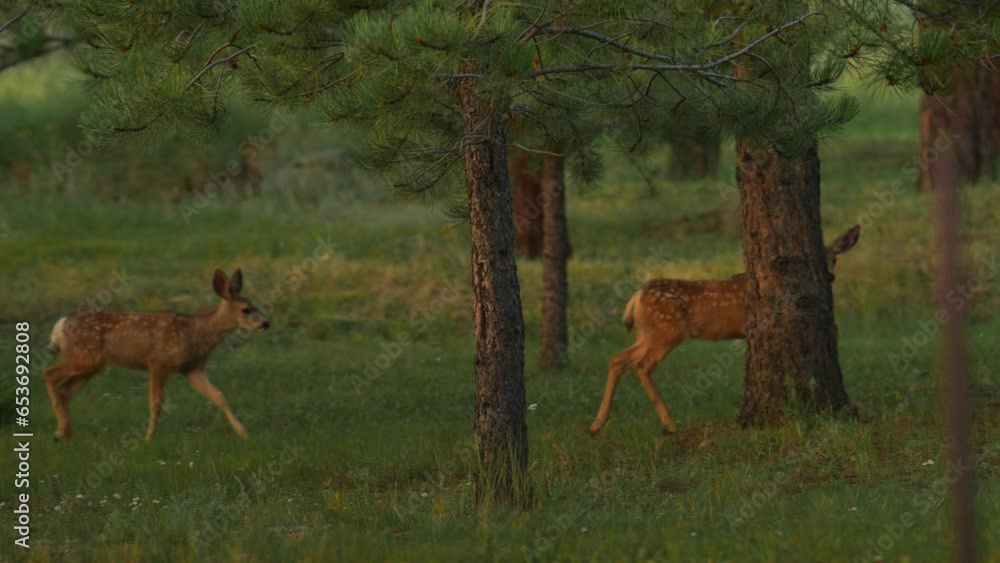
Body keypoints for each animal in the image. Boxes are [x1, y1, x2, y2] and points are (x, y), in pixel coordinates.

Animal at [44, 269, 269, 441]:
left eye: (254, 305)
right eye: (246, 309)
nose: (266, 323)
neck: (195, 332)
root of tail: (61, 324)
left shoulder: (192, 369)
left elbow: (218, 395)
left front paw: (243, 433)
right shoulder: (158, 362)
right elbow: (156, 403)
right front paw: (149, 438)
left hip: (91, 364)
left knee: (66, 390)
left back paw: (68, 433)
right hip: (84, 356)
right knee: (50, 373)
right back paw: (60, 432)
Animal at [589, 225, 861, 436]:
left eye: (835, 258)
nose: (830, 276)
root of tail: (637, 297)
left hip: (648, 333)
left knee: (618, 359)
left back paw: (596, 425)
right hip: (666, 332)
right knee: (642, 365)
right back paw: (669, 424)